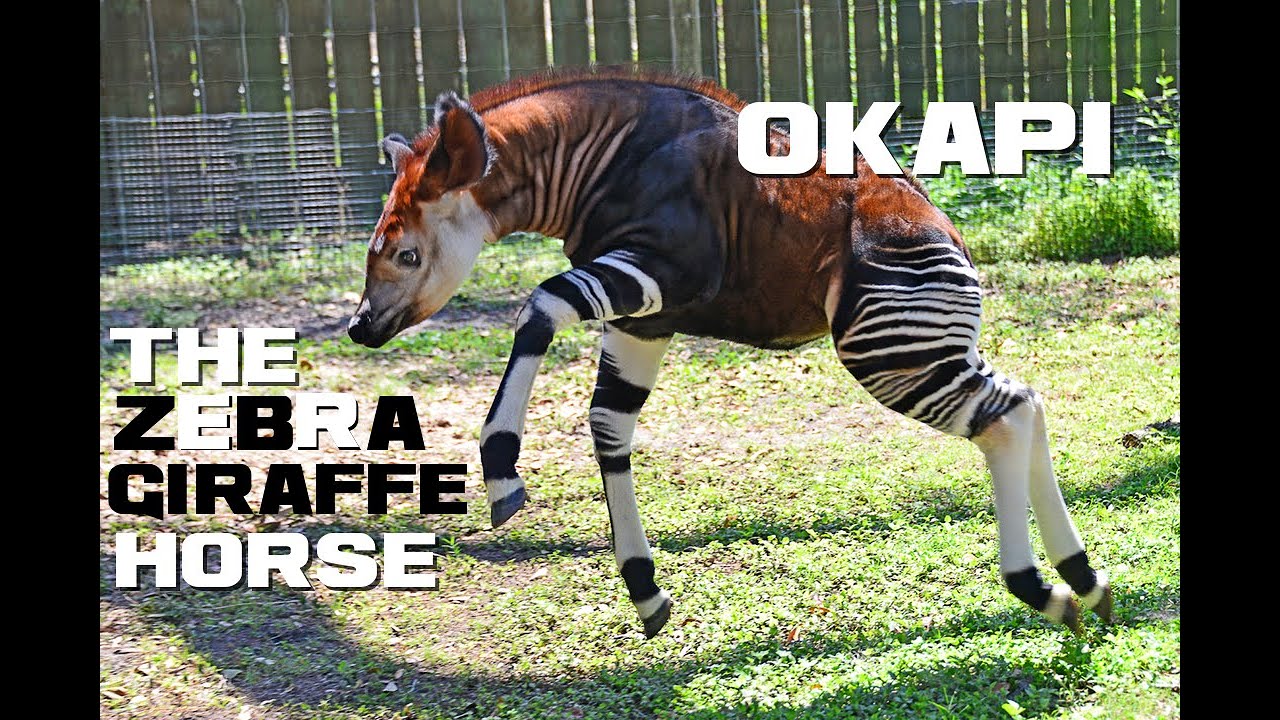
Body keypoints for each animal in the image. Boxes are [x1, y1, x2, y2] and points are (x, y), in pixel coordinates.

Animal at [345, 68, 1112, 639]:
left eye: (406, 254)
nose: (360, 328)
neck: (600, 157)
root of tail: (950, 238)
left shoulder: (660, 271)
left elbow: (538, 309)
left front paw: (503, 473)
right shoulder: (646, 315)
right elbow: (609, 426)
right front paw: (647, 593)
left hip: (889, 355)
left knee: (1001, 419)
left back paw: (1039, 588)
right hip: (919, 346)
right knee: (1023, 402)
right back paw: (1085, 581)